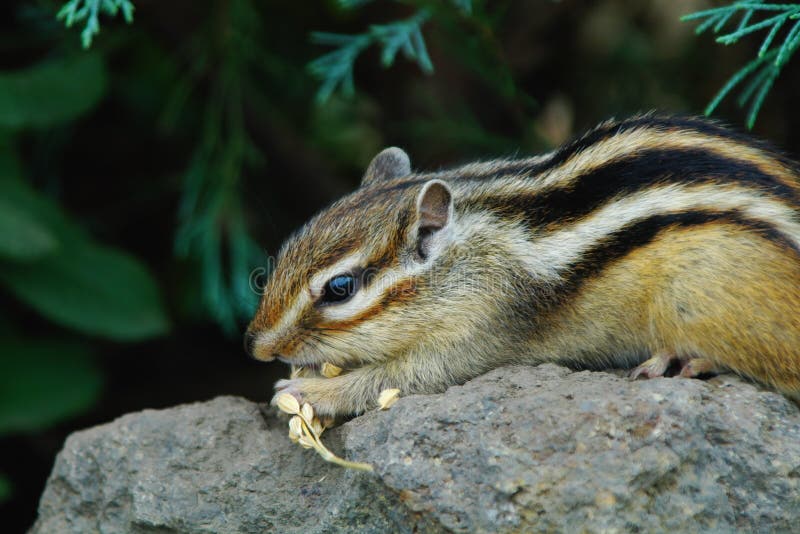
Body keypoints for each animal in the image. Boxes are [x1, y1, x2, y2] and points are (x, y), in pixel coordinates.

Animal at [245, 114, 800, 418]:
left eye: (339, 288)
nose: (257, 347)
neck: (471, 248)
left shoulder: (481, 326)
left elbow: (404, 377)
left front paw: (309, 389)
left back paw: (682, 360)